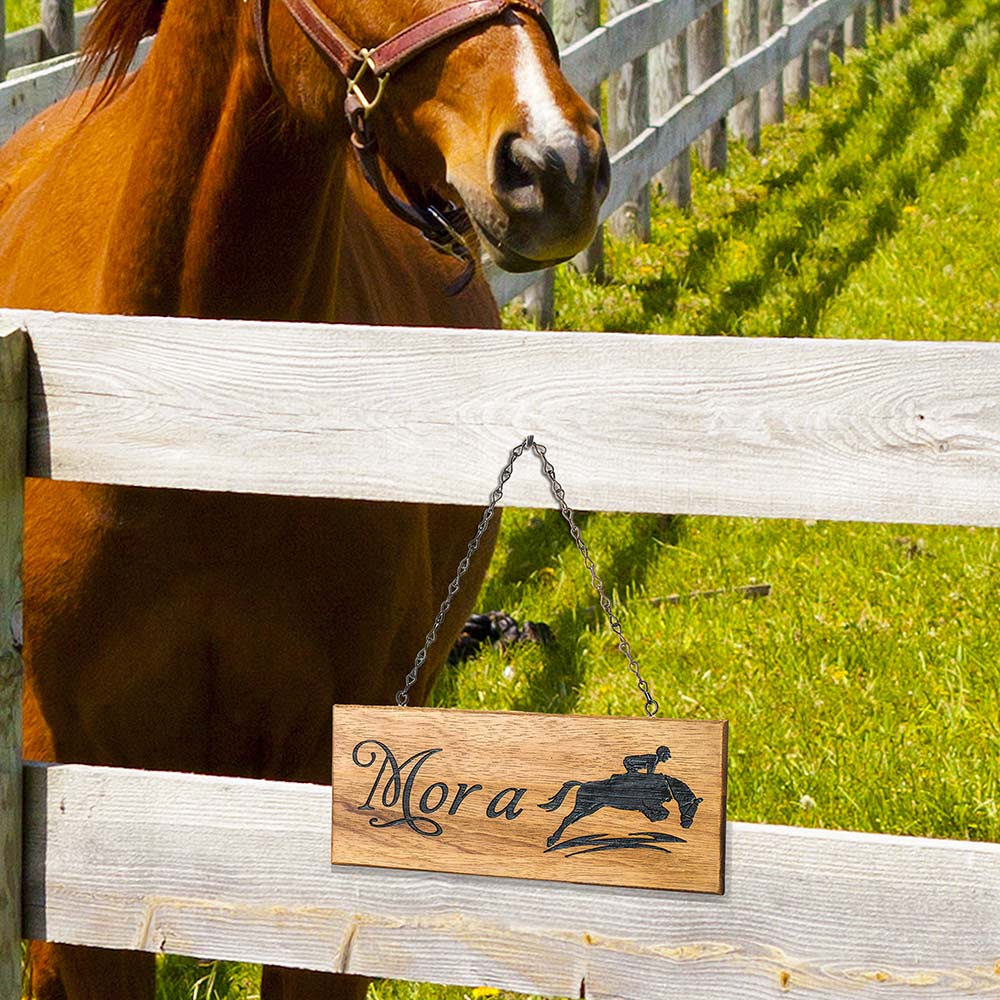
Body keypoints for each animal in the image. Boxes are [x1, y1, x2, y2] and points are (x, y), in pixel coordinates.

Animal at [538, 771, 704, 847]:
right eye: (692, 807)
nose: (687, 825)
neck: (666, 784)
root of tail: (583, 784)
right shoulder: (652, 803)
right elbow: (664, 813)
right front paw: (654, 818)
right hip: (584, 806)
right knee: (568, 819)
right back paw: (552, 840)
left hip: (592, 808)